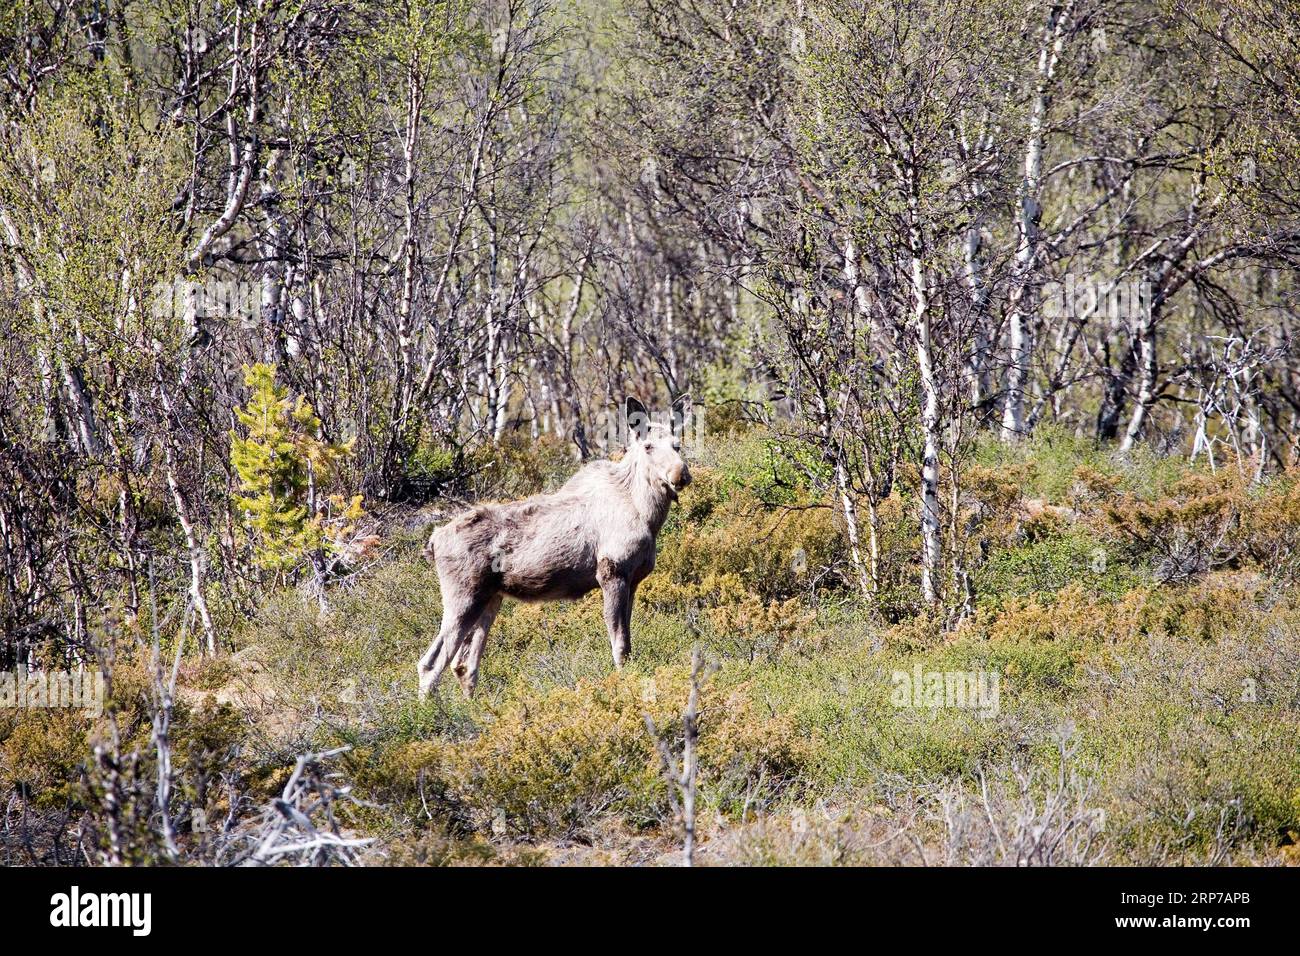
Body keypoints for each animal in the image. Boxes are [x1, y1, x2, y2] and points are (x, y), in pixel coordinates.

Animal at [418, 398, 692, 698]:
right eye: (648, 446)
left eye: (678, 444)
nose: (680, 474)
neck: (647, 515)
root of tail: (433, 541)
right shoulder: (612, 573)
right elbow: (620, 645)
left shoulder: (633, 581)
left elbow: (628, 644)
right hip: (463, 596)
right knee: (430, 663)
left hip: (489, 598)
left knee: (464, 664)